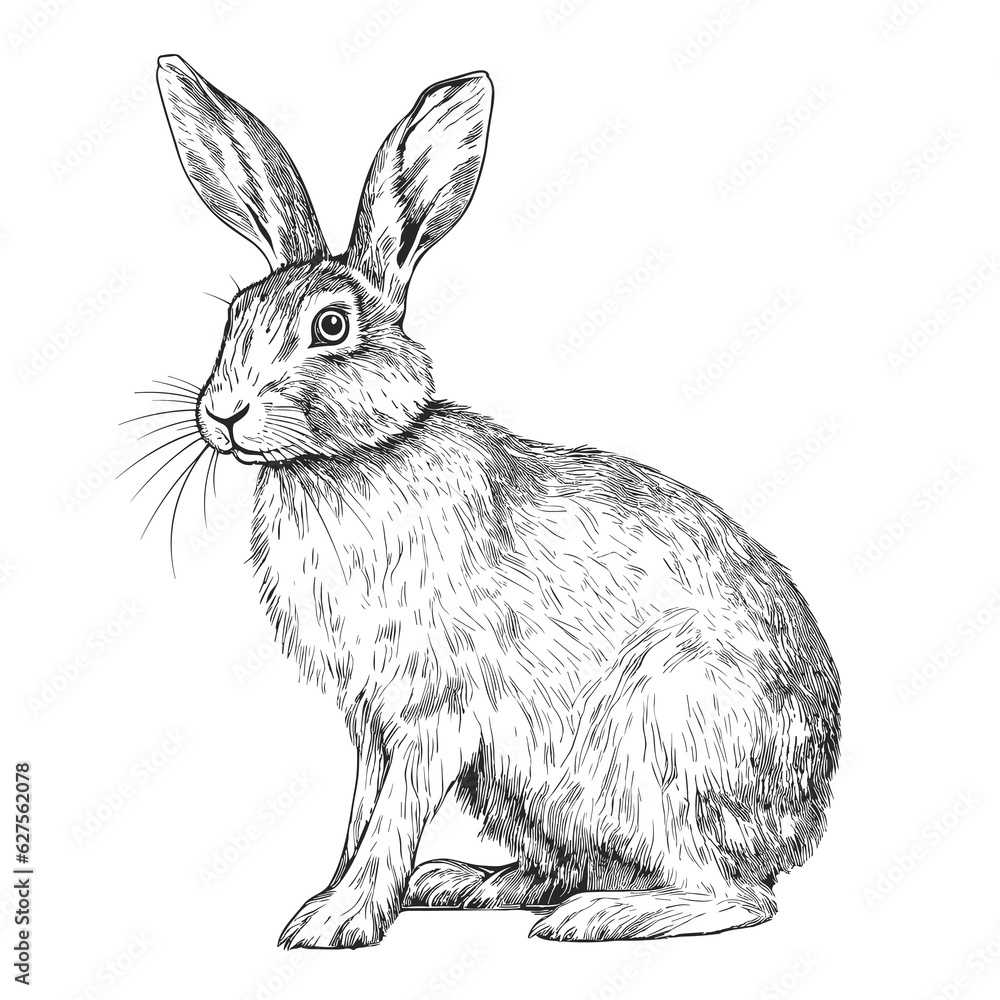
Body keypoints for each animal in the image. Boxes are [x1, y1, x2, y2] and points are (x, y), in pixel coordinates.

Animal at [156, 54, 840, 949]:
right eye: (235, 316)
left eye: (332, 326)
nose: (224, 413)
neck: (353, 458)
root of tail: (802, 823)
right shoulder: (371, 723)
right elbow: (362, 813)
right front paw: (332, 898)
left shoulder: (433, 712)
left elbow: (391, 816)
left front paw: (335, 923)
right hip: (529, 793)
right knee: (564, 869)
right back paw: (462, 880)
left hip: (662, 746)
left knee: (736, 896)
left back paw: (596, 918)